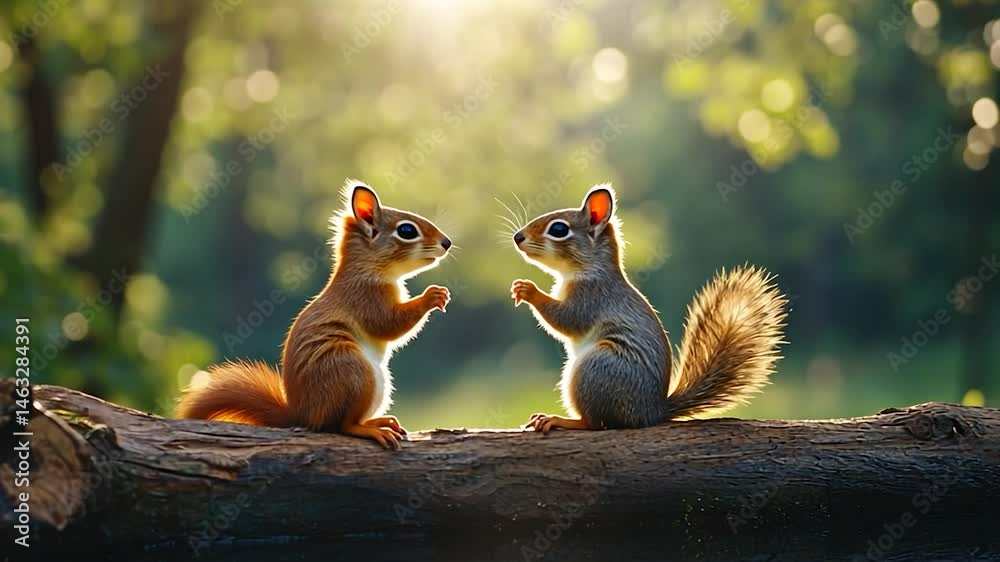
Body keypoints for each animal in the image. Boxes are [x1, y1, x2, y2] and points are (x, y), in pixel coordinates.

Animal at [177, 180, 453, 449]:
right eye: (407, 231)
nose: (447, 243)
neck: (368, 269)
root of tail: (302, 415)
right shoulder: (365, 298)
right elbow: (389, 324)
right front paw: (431, 296)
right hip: (353, 373)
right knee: (343, 425)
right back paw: (370, 429)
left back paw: (381, 420)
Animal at [510, 184, 787, 433]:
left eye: (558, 229)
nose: (518, 237)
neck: (588, 270)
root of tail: (652, 412)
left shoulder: (592, 298)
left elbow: (566, 320)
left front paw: (528, 290)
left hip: (596, 369)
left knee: (594, 423)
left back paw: (559, 420)